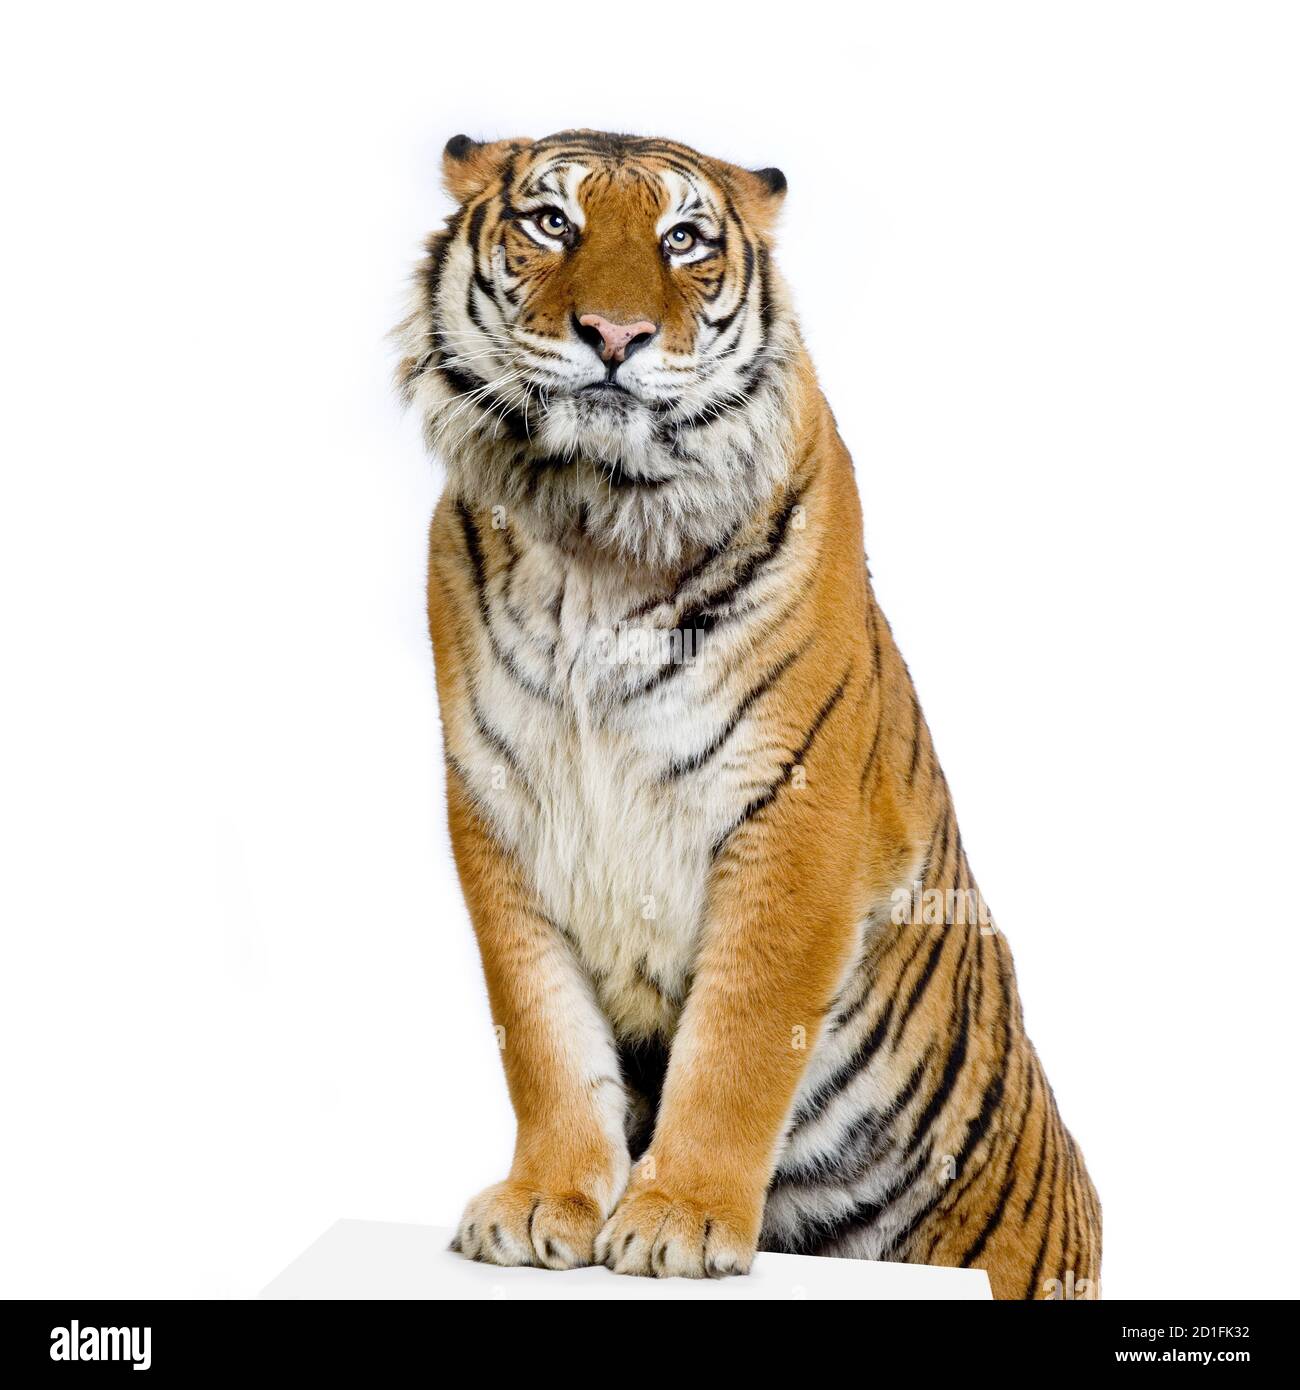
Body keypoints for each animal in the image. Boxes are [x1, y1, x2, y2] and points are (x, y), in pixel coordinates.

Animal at [395, 129, 1101, 1300]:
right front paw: (544, 1203)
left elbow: (738, 1038)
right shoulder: (497, 807)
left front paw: (678, 1219)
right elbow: (541, 1034)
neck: (596, 525)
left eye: (683, 239)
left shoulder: (794, 813)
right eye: (552, 222)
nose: (615, 336)